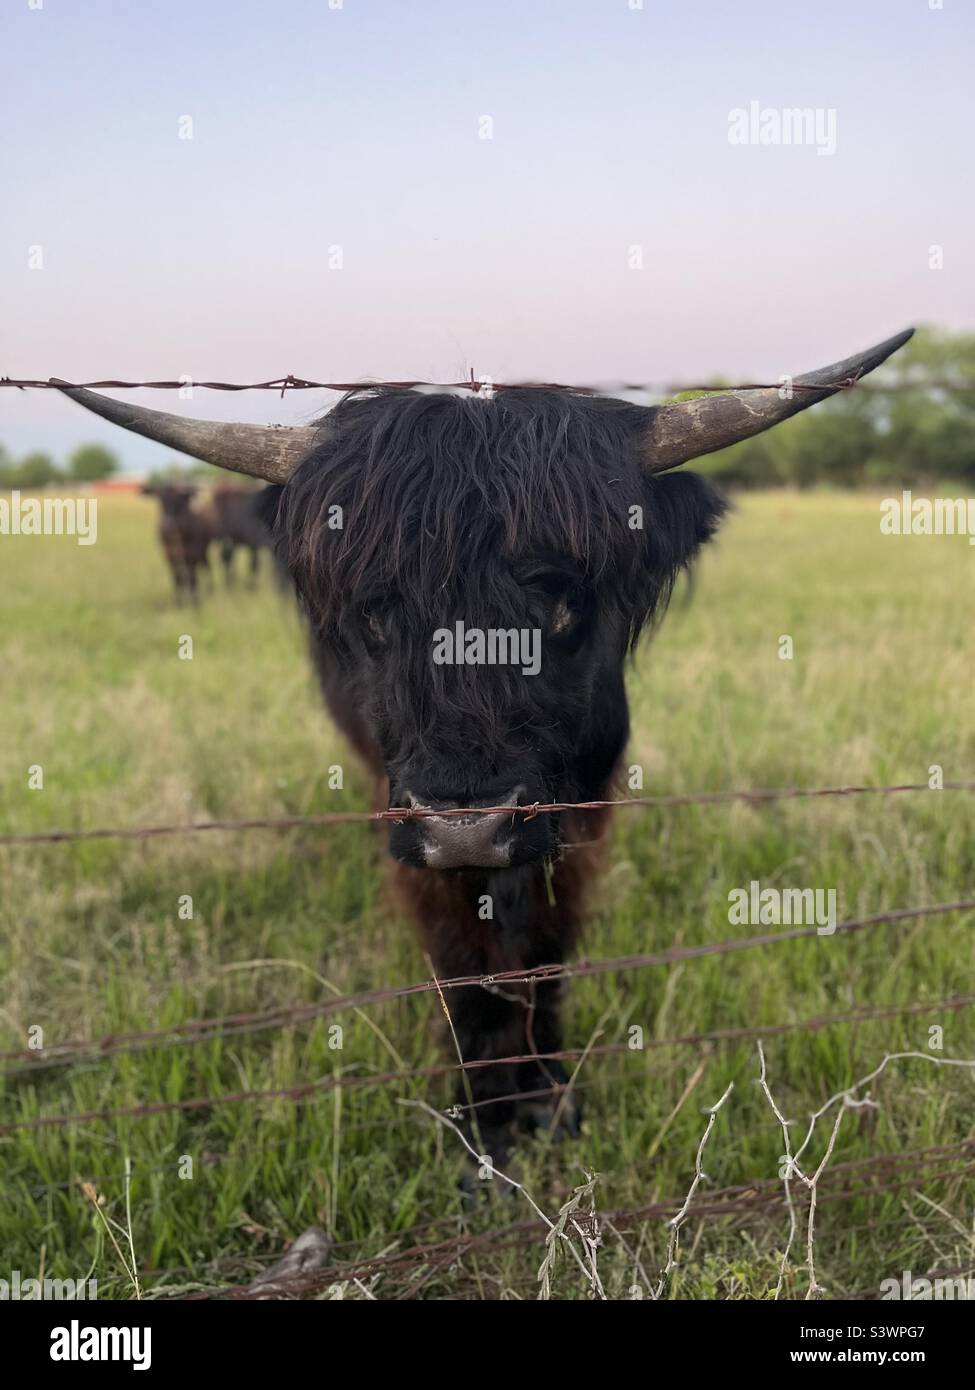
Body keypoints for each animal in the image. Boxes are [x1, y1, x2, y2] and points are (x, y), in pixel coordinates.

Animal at [54, 329, 913, 1164]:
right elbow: (462, 964)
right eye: (375, 612)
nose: (464, 827)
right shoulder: (404, 822)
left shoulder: (579, 812)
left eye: (564, 604)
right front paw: (485, 1120)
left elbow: (543, 949)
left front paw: (547, 1096)